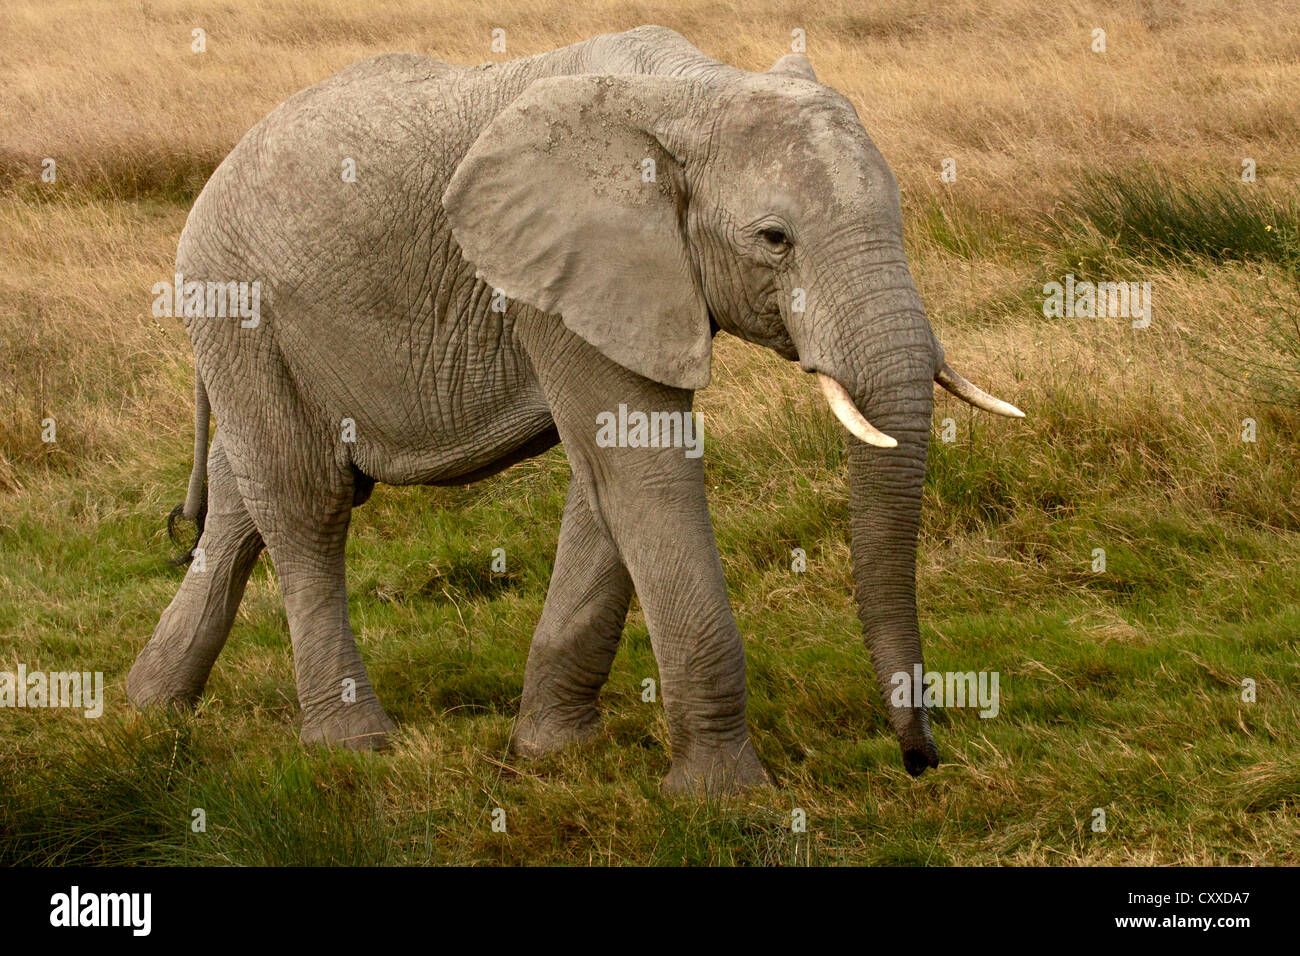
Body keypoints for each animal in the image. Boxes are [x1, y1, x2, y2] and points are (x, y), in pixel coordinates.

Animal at [126, 25, 1023, 795]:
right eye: (775, 239)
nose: (919, 762)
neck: (694, 89)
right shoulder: (561, 269)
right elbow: (646, 475)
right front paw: (725, 798)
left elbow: (606, 485)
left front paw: (553, 752)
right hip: (237, 302)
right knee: (306, 502)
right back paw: (353, 747)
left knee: (243, 499)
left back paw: (150, 707)